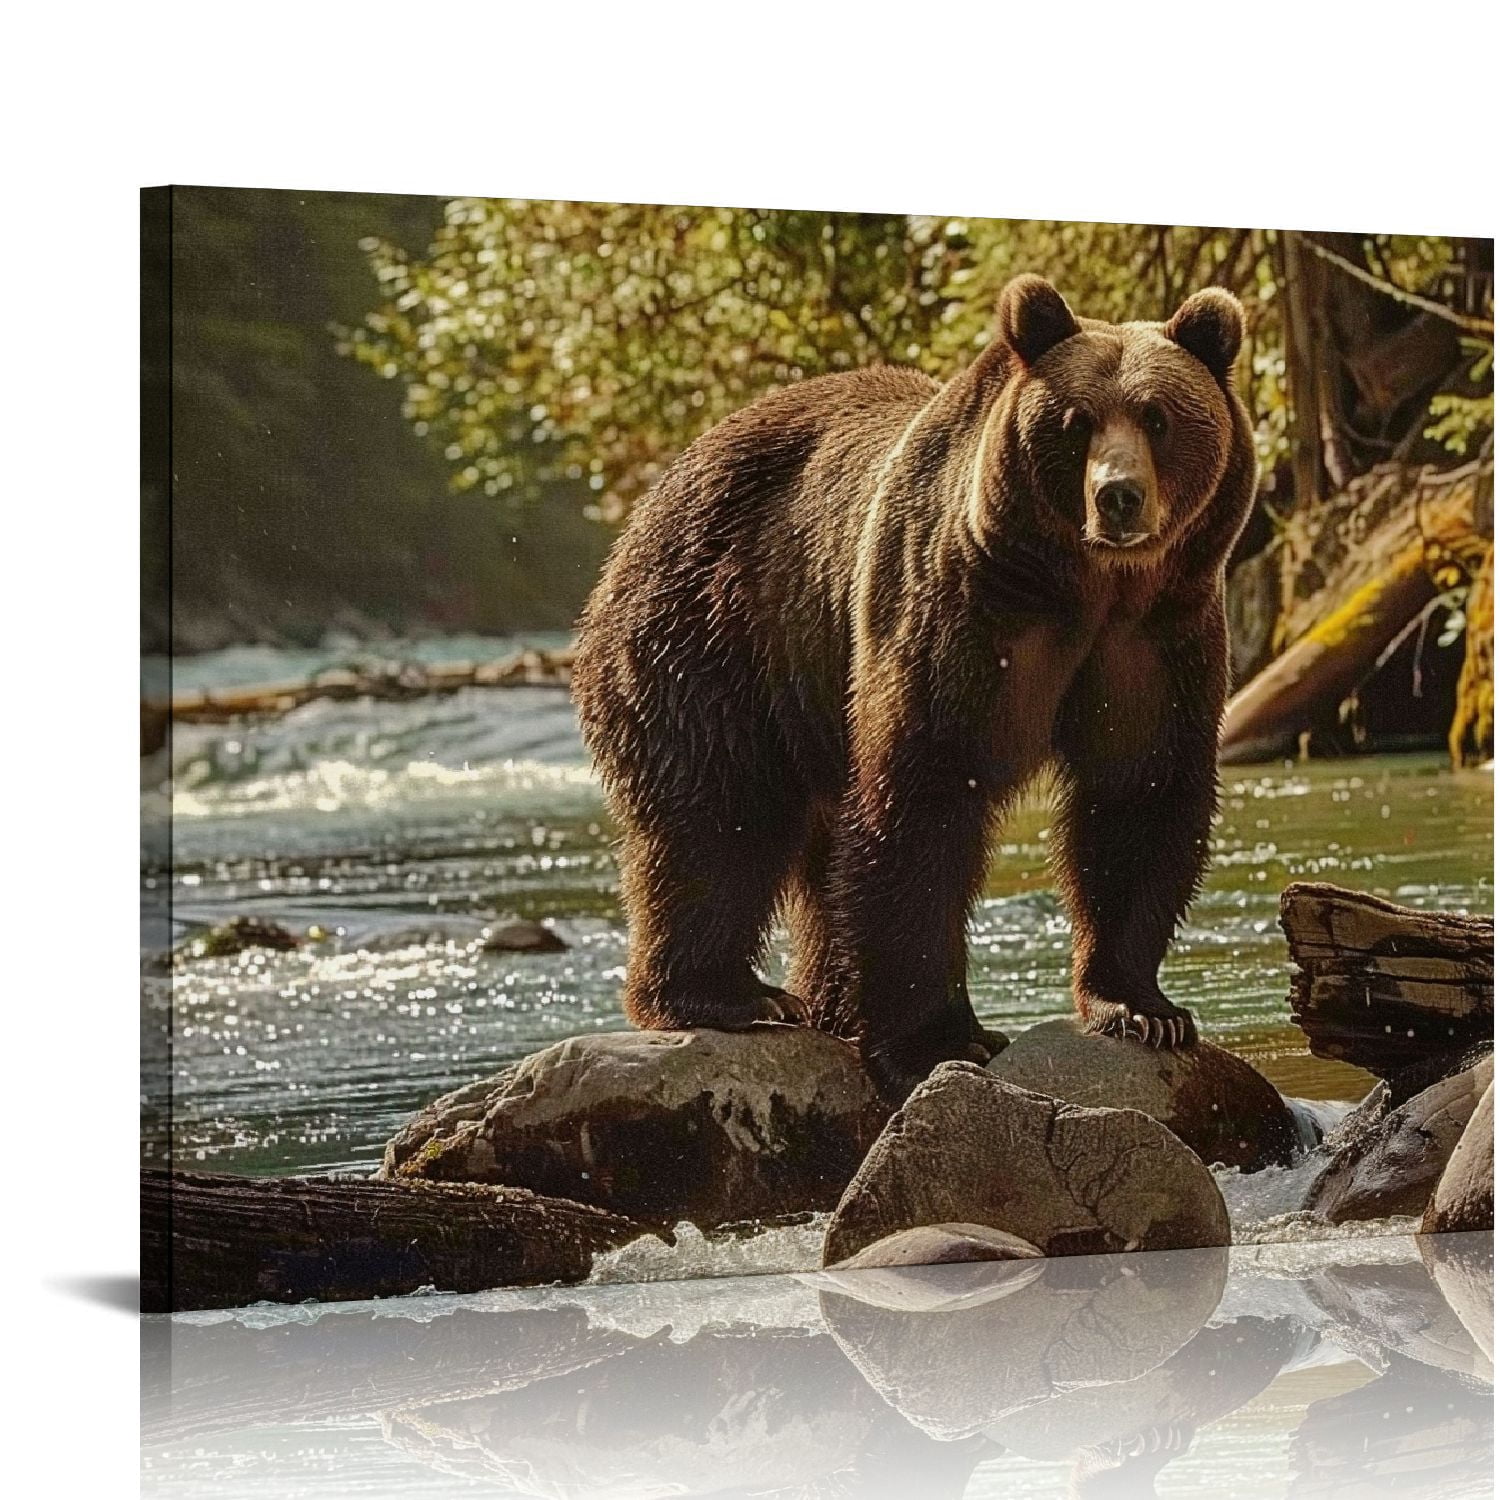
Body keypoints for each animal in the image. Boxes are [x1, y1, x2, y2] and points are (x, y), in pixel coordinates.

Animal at [571, 273, 1257, 1103]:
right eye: (1077, 420)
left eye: (1157, 416)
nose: (1118, 496)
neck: (1089, 589)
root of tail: (657, 491)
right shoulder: (962, 612)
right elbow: (923, 798)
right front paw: (940, 1039)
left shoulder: (1158, 638)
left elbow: (1139, 791)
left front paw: (1142, 1008)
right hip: (715, 629)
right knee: (718, 816)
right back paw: (730, 996)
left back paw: (823, 1005)